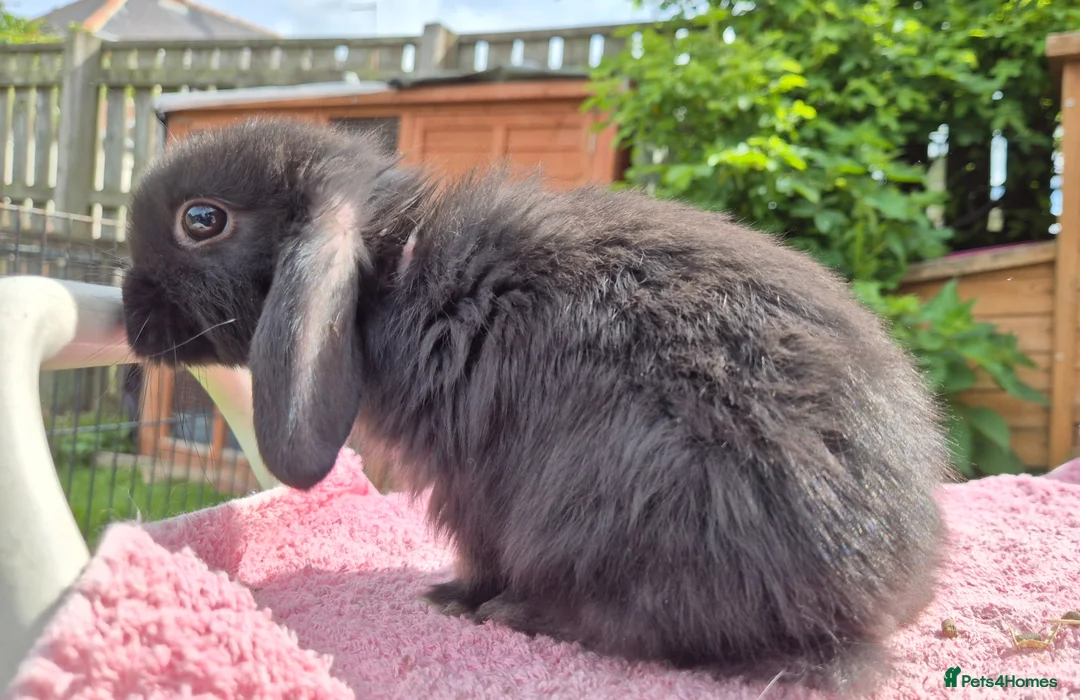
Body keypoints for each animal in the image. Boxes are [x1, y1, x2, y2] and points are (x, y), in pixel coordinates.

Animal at [121, 117, 951, 693]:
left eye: (202, 219)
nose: (129, 312)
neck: (391, 272)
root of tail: (864, 604)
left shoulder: (472, 489)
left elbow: (479, 552)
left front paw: (449, 599)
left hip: (610, 512)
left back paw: (513, 615)